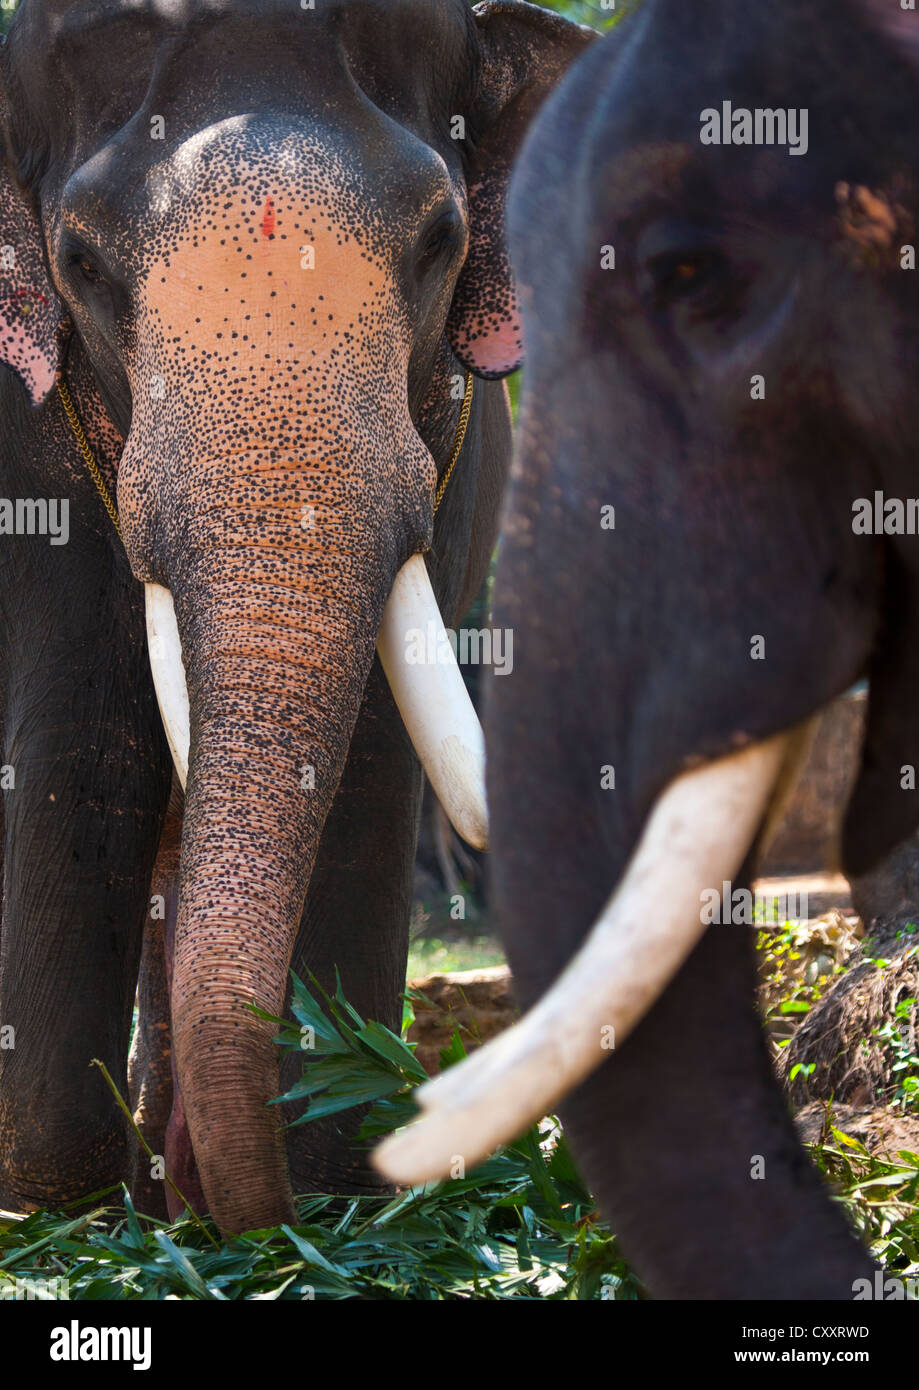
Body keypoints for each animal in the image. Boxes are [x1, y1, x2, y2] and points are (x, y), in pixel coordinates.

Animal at [0, 0, 590, 1235]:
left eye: (440, 239)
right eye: (78, 261)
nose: (247, 1212)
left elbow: (365, 770)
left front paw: (333, 1195)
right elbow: (85, 752)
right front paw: (56, 1217)